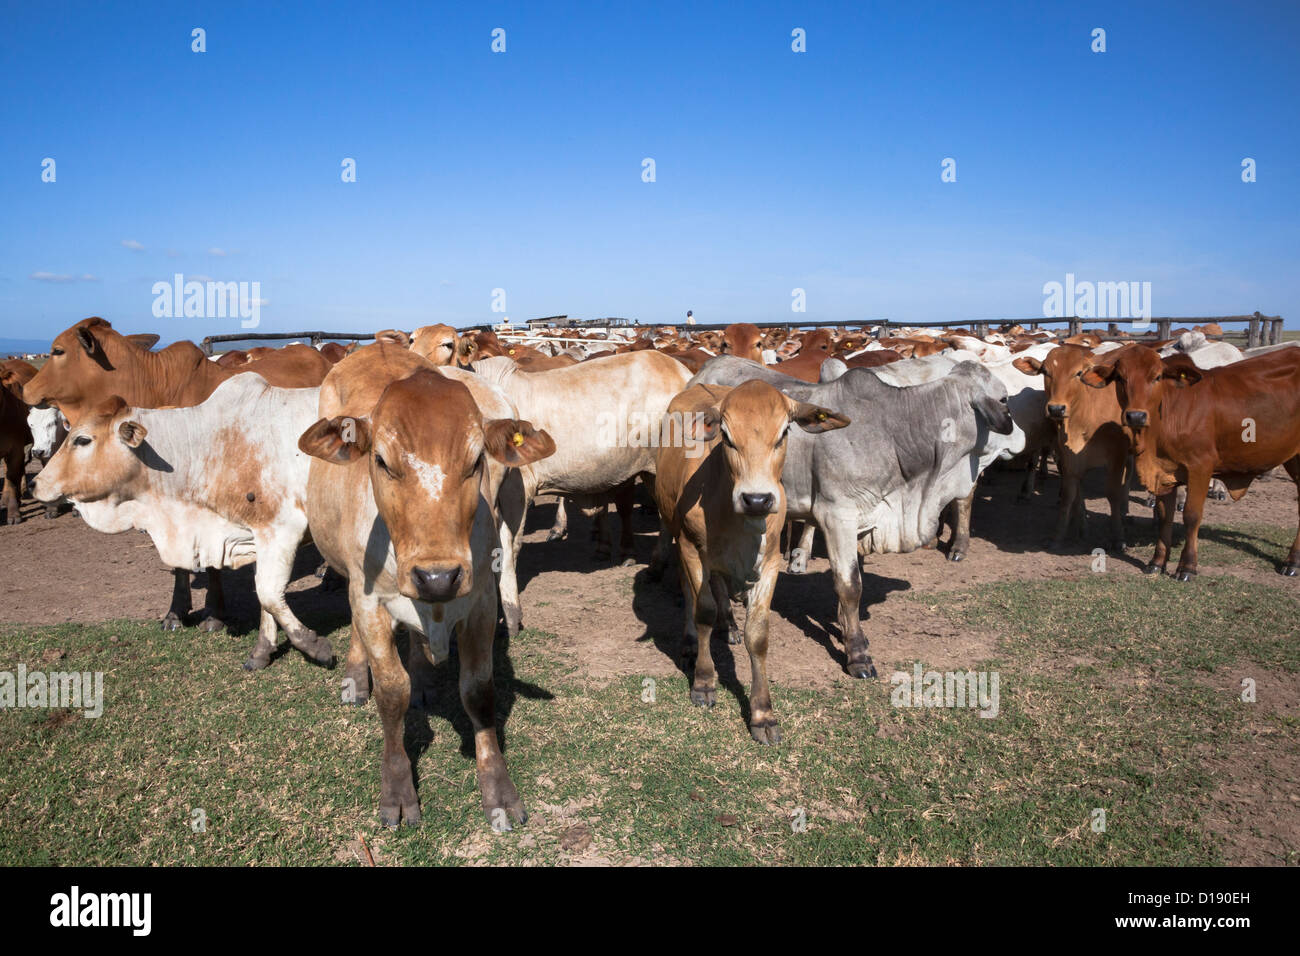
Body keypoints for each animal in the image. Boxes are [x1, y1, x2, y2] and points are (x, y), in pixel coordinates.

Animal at [299, 350, 555, 828]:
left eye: (477, 461)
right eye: (381, 460)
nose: (437, 577)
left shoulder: (480, 600)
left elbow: (478, 690)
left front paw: (498, 787)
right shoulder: (369, 601)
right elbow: (391, 692)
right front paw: (398, 787)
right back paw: (355, 677)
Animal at [654, 381, 848, 743]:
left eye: (784, 432)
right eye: (726, 435)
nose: (757, 499)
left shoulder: (769, 563)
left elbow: (757, 635)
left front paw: (763, 714)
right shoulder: (692, 548)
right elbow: (703, 611)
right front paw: (704, 682)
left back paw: (729, 626)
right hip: (677, 535)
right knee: (691, 594)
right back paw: (691, 642)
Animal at [690, 356, 1016, 677]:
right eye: (1004, 398)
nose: (1017, 434)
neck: (891, 430)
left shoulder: (863, 518)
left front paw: (846, 630)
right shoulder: (837, 516)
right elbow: (850, 586)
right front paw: (858, 654)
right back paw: (728, 624)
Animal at [1081, 344, 1300, 579]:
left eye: (1157, 377)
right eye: (1120, 377)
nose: (1136, 416)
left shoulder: (1200, 468)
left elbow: (1191, 515)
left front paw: (1187, 566)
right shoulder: (1163, 473)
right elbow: (1164, 516)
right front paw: (1157, 562)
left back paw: (1292, 562)